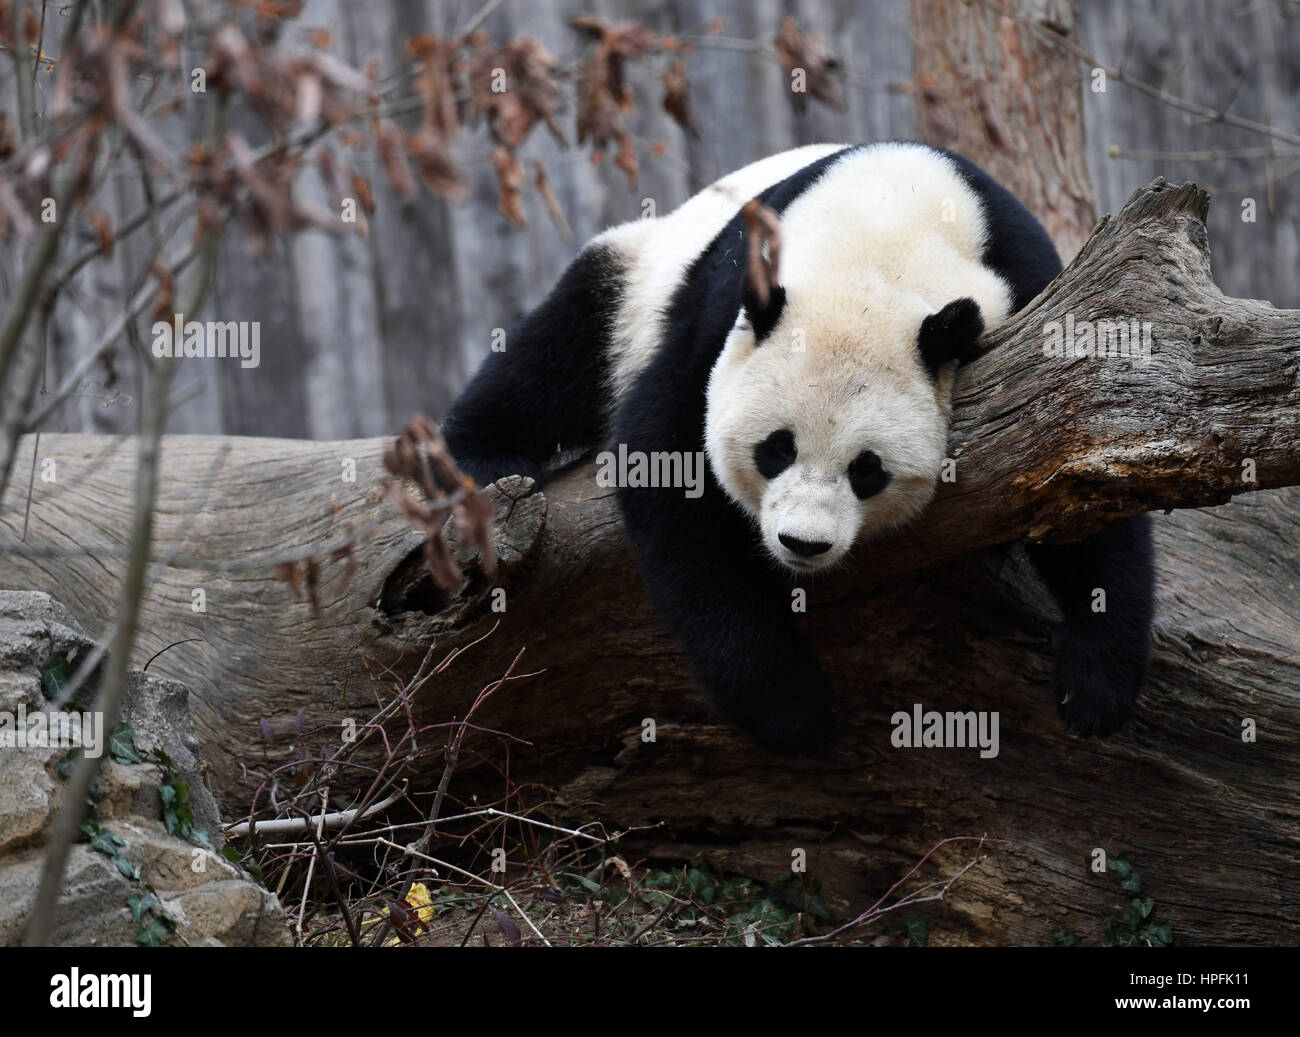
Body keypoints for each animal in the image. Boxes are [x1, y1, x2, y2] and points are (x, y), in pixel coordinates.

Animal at [441, 141, 1156, 755]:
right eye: (775, 451)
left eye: (867, 470)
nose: (802, 544)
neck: (880, 235)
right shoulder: (719, 316)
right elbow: (667, 468)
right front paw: (792, 710)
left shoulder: (1028, 289)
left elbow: (1077, 449)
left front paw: (1095, 687)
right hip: (637, 276)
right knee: (557, 350)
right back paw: (478, 460)